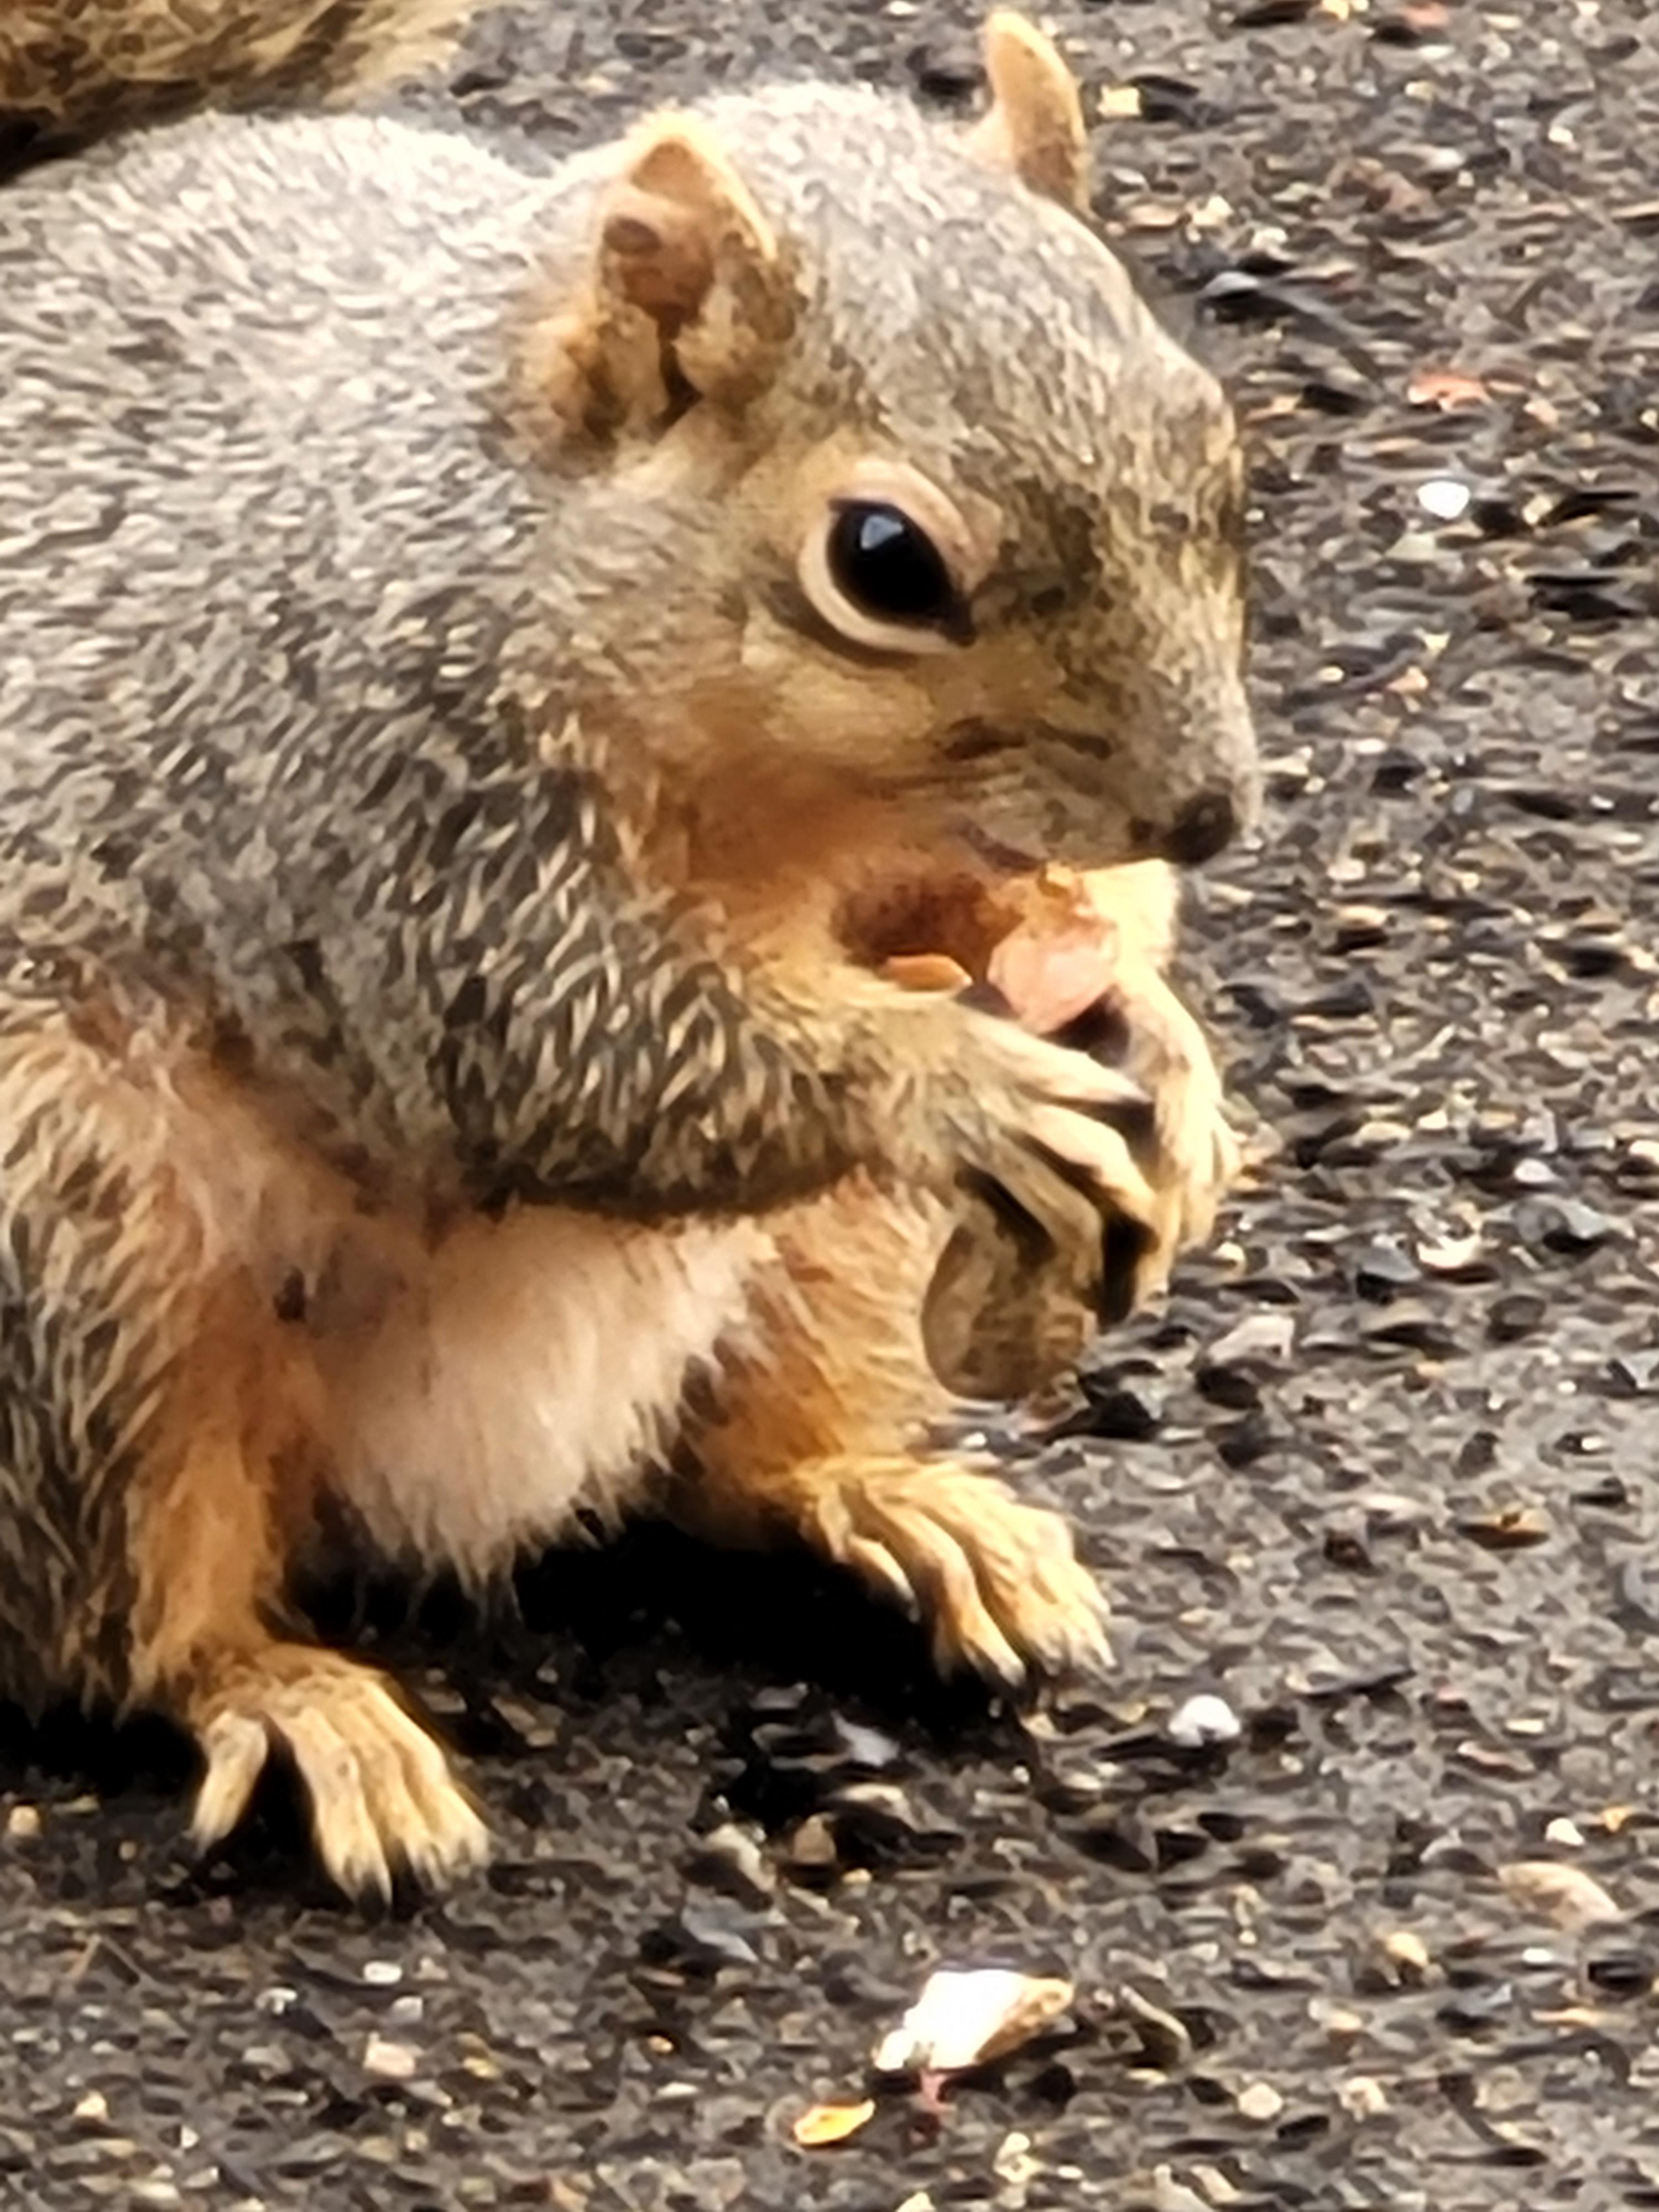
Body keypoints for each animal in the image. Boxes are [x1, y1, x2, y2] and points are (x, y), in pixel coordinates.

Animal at [0, 1, 1255, 1897]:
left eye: (1218, 451)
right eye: (883, 561)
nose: (1209, 812)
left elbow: (1035, 928)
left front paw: (1171, 1059)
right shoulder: (378, 795)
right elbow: (567, 1044)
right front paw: (951, 1081)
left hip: (831, 1264)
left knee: (730, 1473)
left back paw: (894, 1504)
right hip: (80, 1264)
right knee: (133, 1619)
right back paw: (292, 1700)